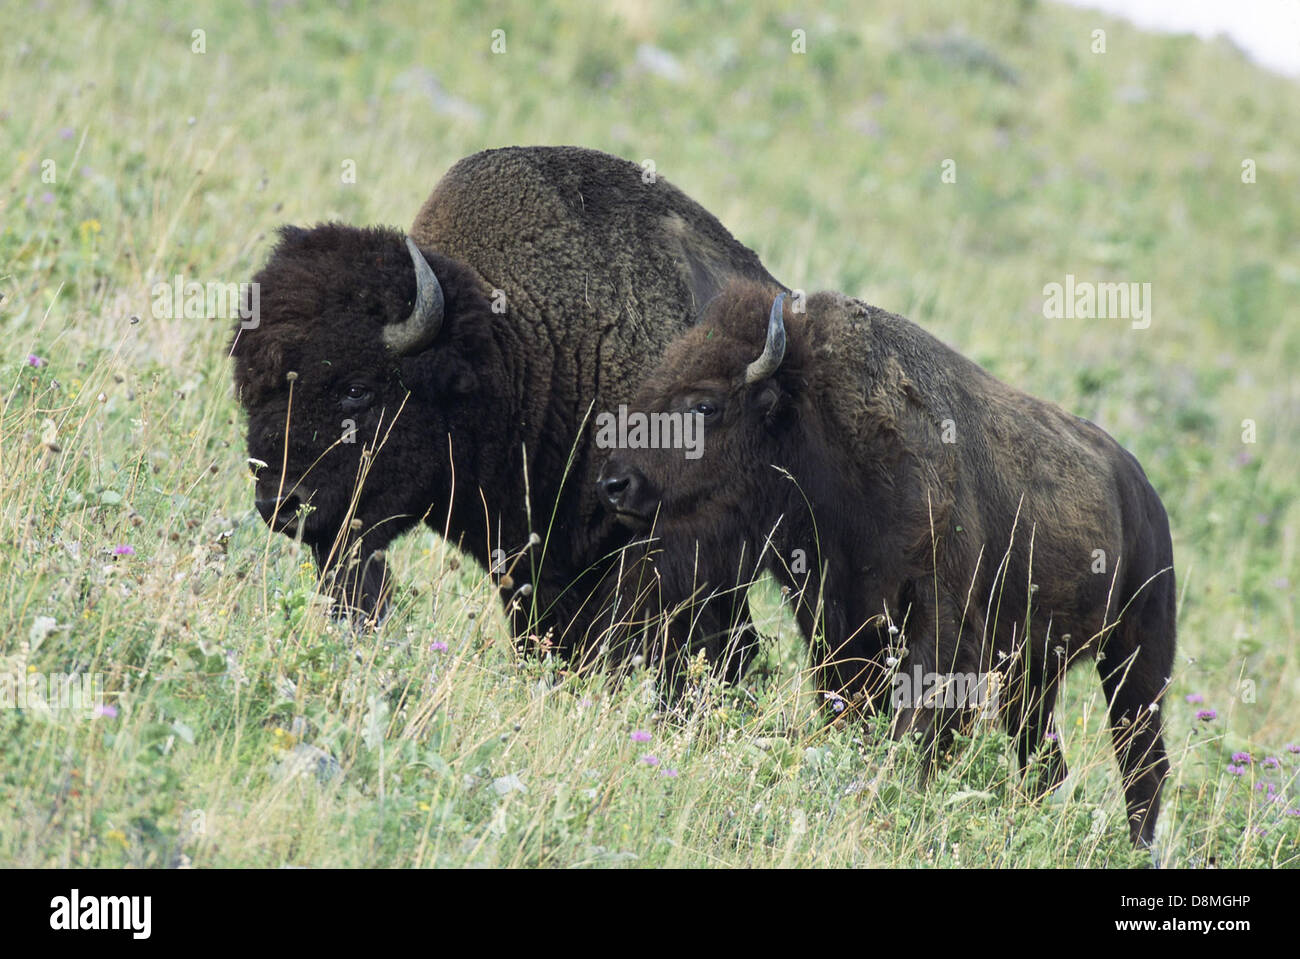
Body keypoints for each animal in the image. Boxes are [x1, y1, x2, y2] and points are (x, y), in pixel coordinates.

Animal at [599, 281, 1176, 846]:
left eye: (705, 406)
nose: (615, 483)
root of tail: (1143, 492)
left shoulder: (940, 630)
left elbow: (915, 732)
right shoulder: (837, 629)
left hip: (1136, 659)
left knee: (1142, 762)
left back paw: (1137, 847)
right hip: (1035, 677)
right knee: (1045, 758)